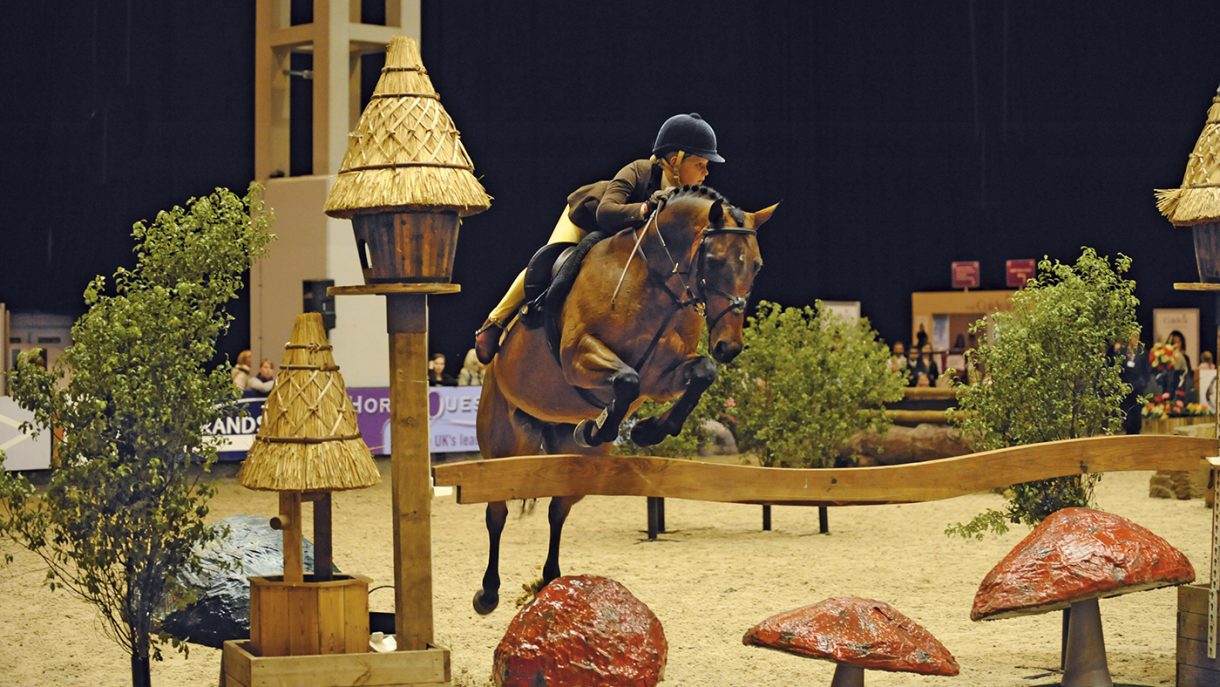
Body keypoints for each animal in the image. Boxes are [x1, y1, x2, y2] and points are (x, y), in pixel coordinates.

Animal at [472, 185, 778, 614]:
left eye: (757, 265)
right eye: (715, 260)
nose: (729, 346)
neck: (658, 282)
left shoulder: (662, 377)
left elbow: (698, 373)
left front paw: (644, 430)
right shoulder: (579, 357)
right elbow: (626, 379)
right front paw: (603, 425)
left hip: (574, 466)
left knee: (557, 510)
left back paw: (550, 580)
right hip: (503, 446)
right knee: (496, 510)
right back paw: (488, 592)